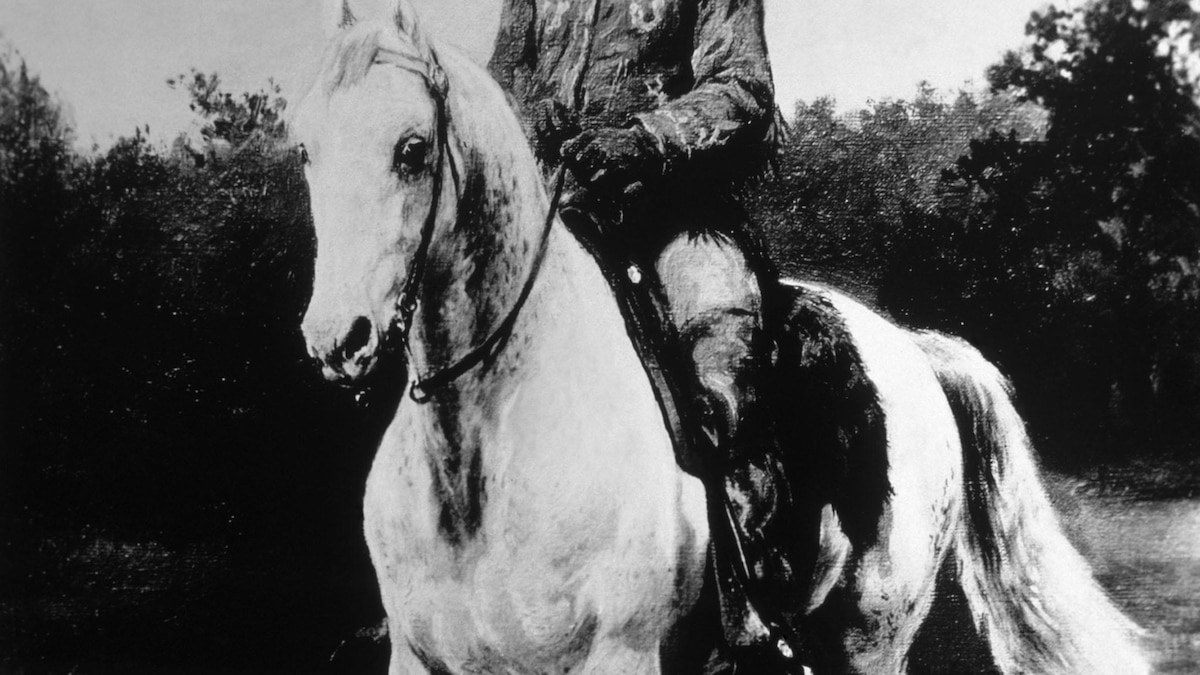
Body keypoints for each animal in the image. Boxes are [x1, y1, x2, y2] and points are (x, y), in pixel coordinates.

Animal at [292, 4, 1149, 673]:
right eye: (307, 149)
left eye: (412, 149)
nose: (338, 340)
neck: (480, 469)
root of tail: (911, 348)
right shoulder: (419, 659)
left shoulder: (619, 658)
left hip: (872, 639)